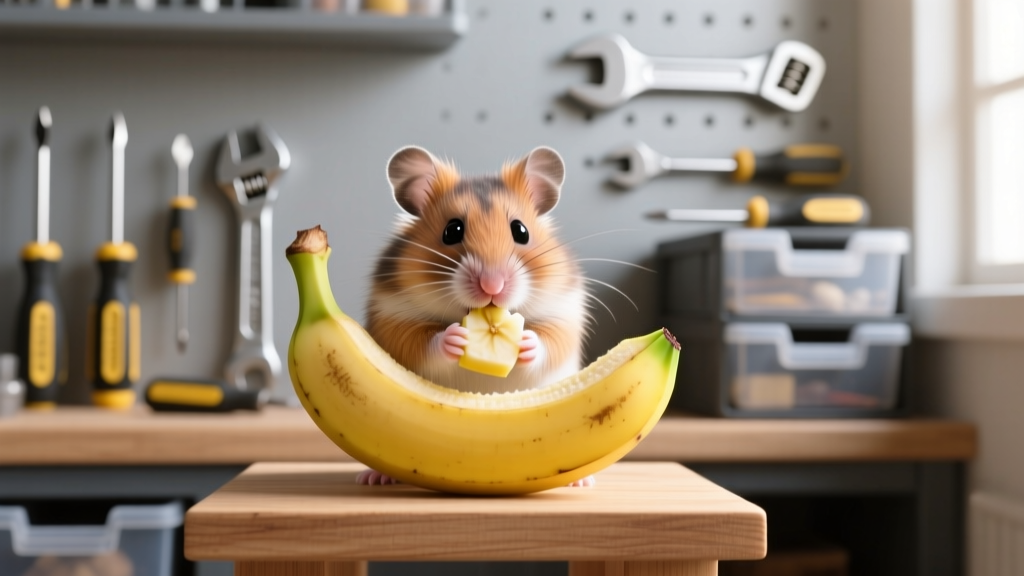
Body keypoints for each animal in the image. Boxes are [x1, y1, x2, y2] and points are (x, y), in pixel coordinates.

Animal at [365, 145, 589, 395]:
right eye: (452, 231)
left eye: (521, 231)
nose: (492, 286)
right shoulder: (392, 316)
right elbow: (421, 345)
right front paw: (455, 338)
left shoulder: (564, 314)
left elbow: (550, 343)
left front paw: (526, 341)